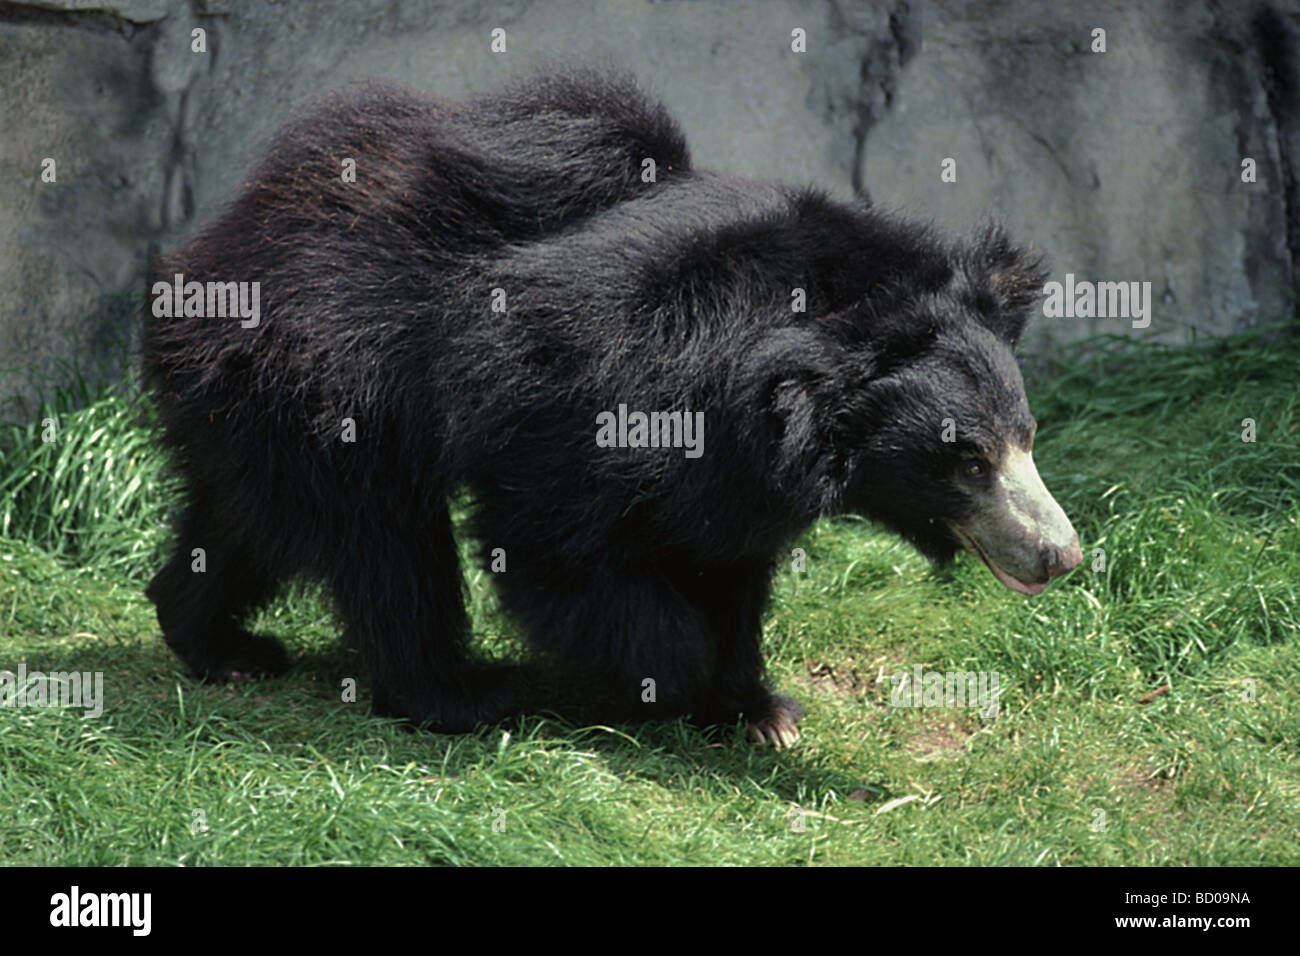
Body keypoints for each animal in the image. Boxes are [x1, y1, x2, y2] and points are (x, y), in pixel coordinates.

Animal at [142, 65, 1081, 746]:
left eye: (1027, 437)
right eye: (968, 458)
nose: (1061, 554)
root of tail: (218, 246)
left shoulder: (737, 468)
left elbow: (726, 558)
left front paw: (759, 711)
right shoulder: (594, 395)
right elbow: (556, 545)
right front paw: (664, 681)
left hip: (269, 401)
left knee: (247, 518)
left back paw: (219, 644)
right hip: (332, 382)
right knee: (387, 546)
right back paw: (463, 693)